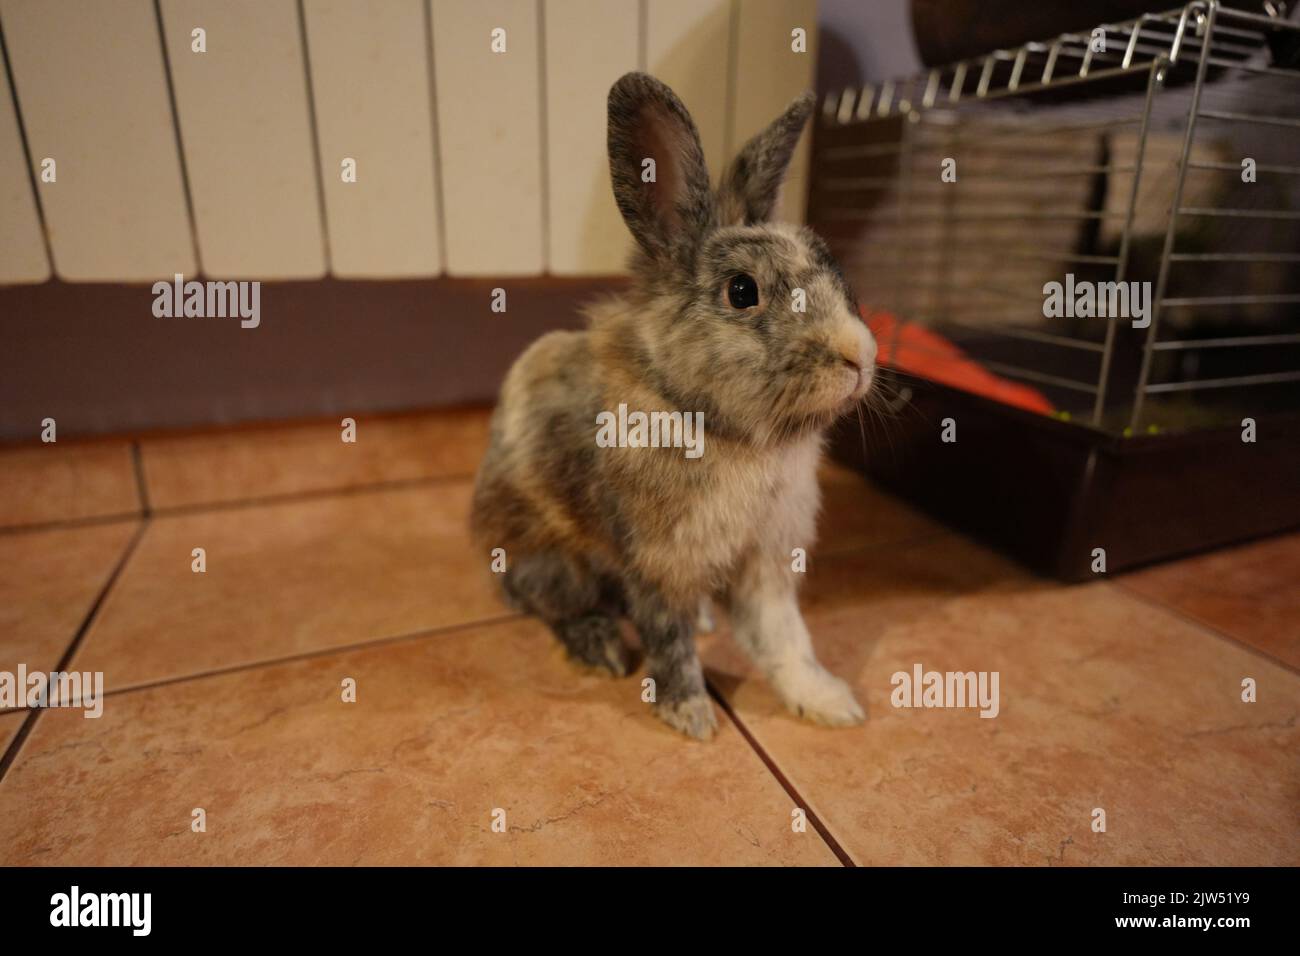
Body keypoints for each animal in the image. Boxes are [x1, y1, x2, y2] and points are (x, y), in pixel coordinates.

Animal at [471, 72, 876, 740]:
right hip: (554, 562)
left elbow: (786, 640)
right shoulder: (659, 562)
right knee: (544, 603)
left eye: (833, 268)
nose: (859, 357)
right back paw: (600, 646)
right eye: (742, 291)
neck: (722, 426)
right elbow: (668, 639)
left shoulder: (764, 564)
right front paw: (692, 716)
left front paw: (830, 703)